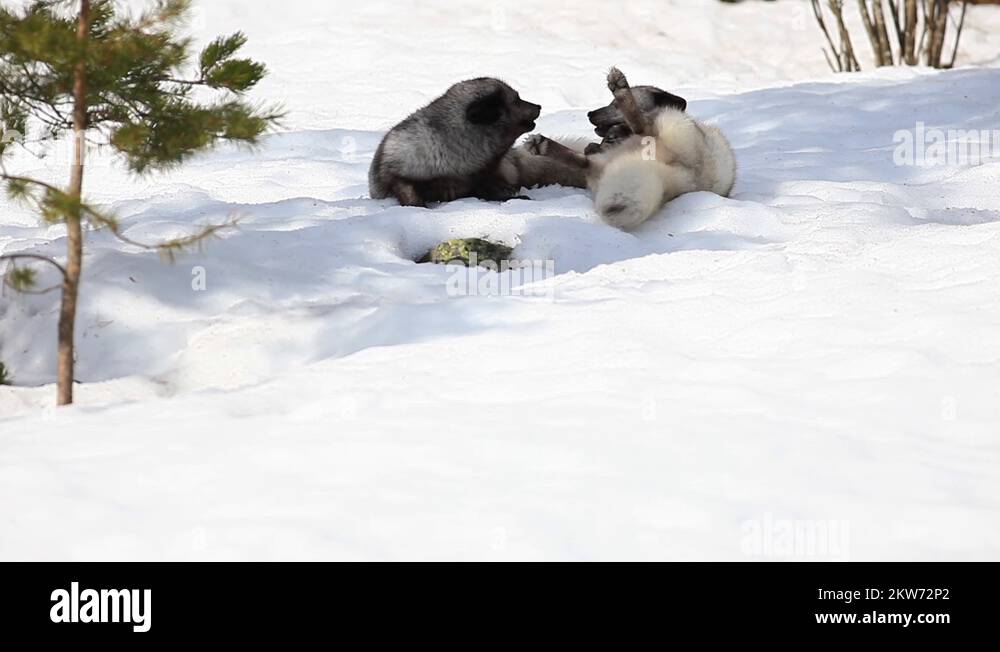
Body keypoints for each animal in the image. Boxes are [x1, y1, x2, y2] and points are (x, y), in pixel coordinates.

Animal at [369, 78, 585, 206]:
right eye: (516, 100)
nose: (539, 106)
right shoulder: (398, 172)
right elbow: (405, 189)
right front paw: (417, 205)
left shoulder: (483, 176)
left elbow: (490, 191)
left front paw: (514, 196)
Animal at [525, 68, 736, 230]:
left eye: (613, 106)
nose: (590, 113)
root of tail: (685, 180)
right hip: (607, 167)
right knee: (587, 162)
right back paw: (542, 145)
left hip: (669, 122)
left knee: (644, 127)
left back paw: (621, 90)